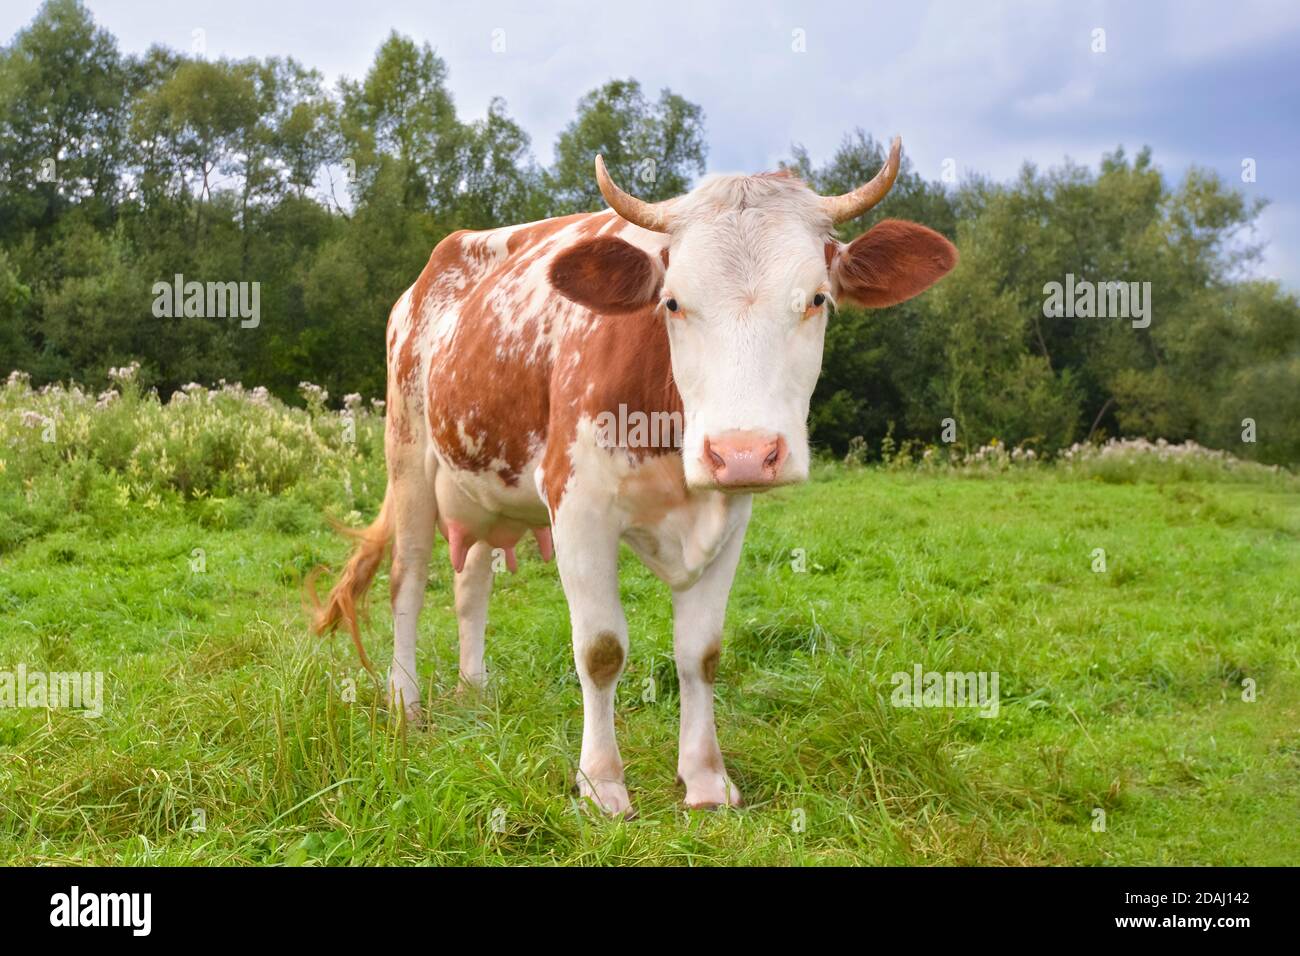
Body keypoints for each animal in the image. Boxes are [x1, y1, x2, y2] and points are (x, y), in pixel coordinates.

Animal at [311, 137, 957, 816]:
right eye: (671, 301)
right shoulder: (577, 507)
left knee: (470, 585)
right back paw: (405, 706)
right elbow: (600, 650)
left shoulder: (730, 517)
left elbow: (701, 653)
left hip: (484, 486)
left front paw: (705, 780)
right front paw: (601, 784)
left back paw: (475, 691)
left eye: (817, 299)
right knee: (407, 582)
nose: (743, 452)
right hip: (407, 454)